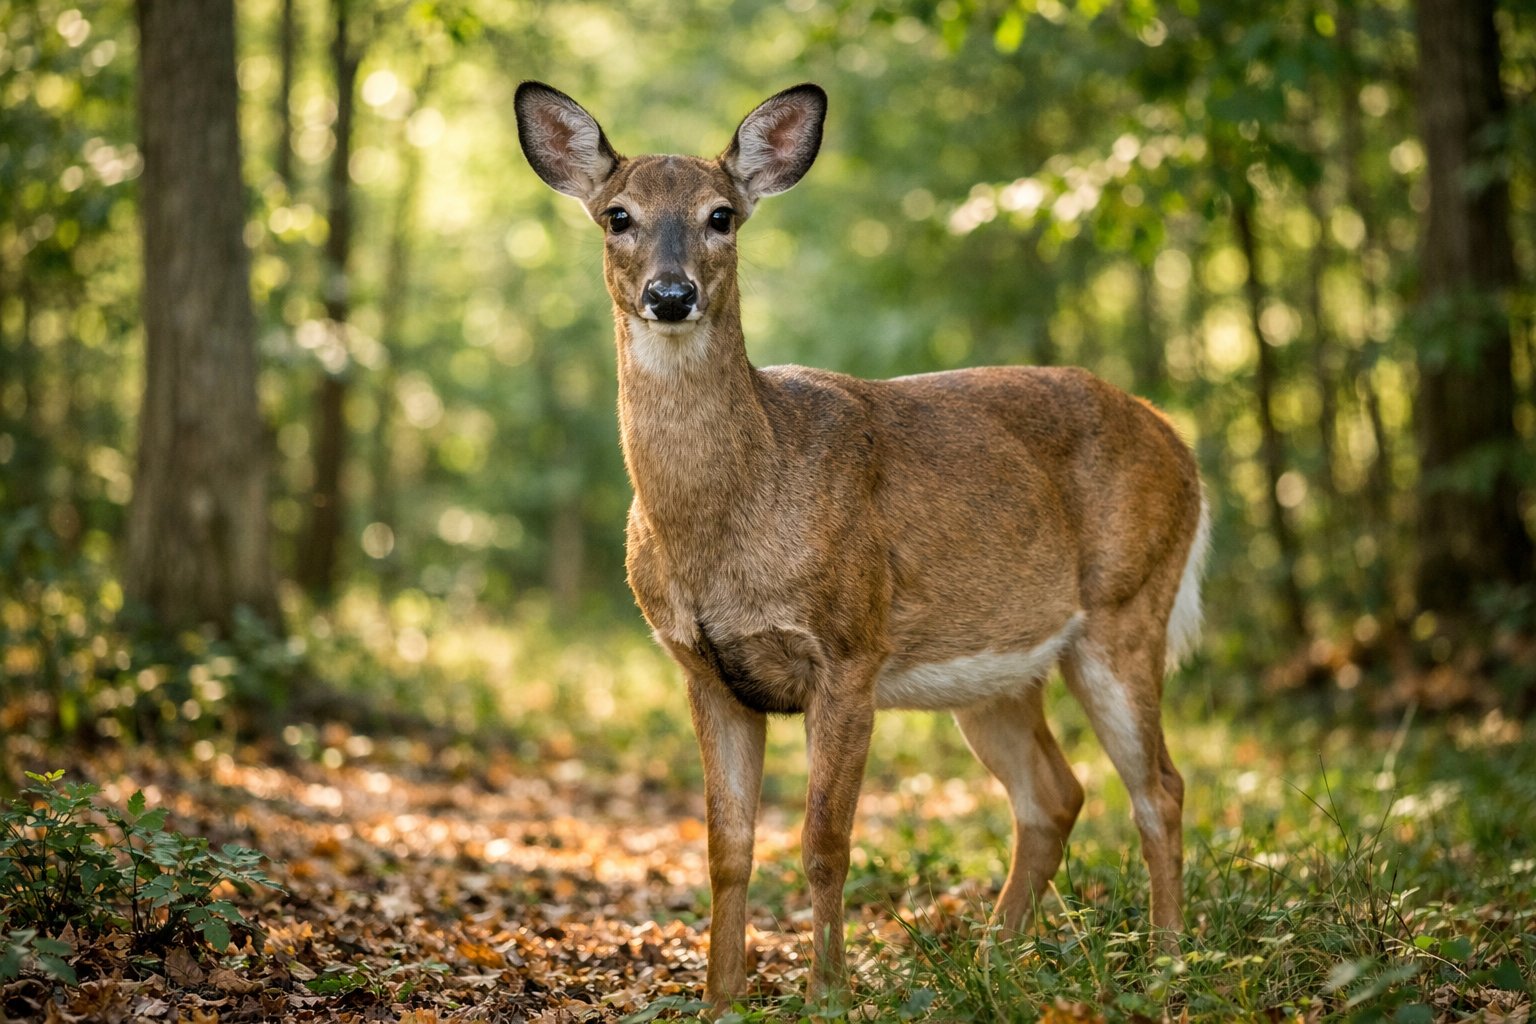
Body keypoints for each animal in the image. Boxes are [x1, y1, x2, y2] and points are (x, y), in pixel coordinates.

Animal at [514, 81, 1211, 1008]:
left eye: (722, 215)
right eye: (617, 215)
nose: (670, 294)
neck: (727, 527)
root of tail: (1182, 444)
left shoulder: (849, 647)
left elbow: (823, 845)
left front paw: (828, 996)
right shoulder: (702, 668)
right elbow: (726, 849)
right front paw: (720, 1001)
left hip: (1127, 608)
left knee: (1159, 787)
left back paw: (1167, 969)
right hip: (995, 670)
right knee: (1054, 796)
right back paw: (989, 963)